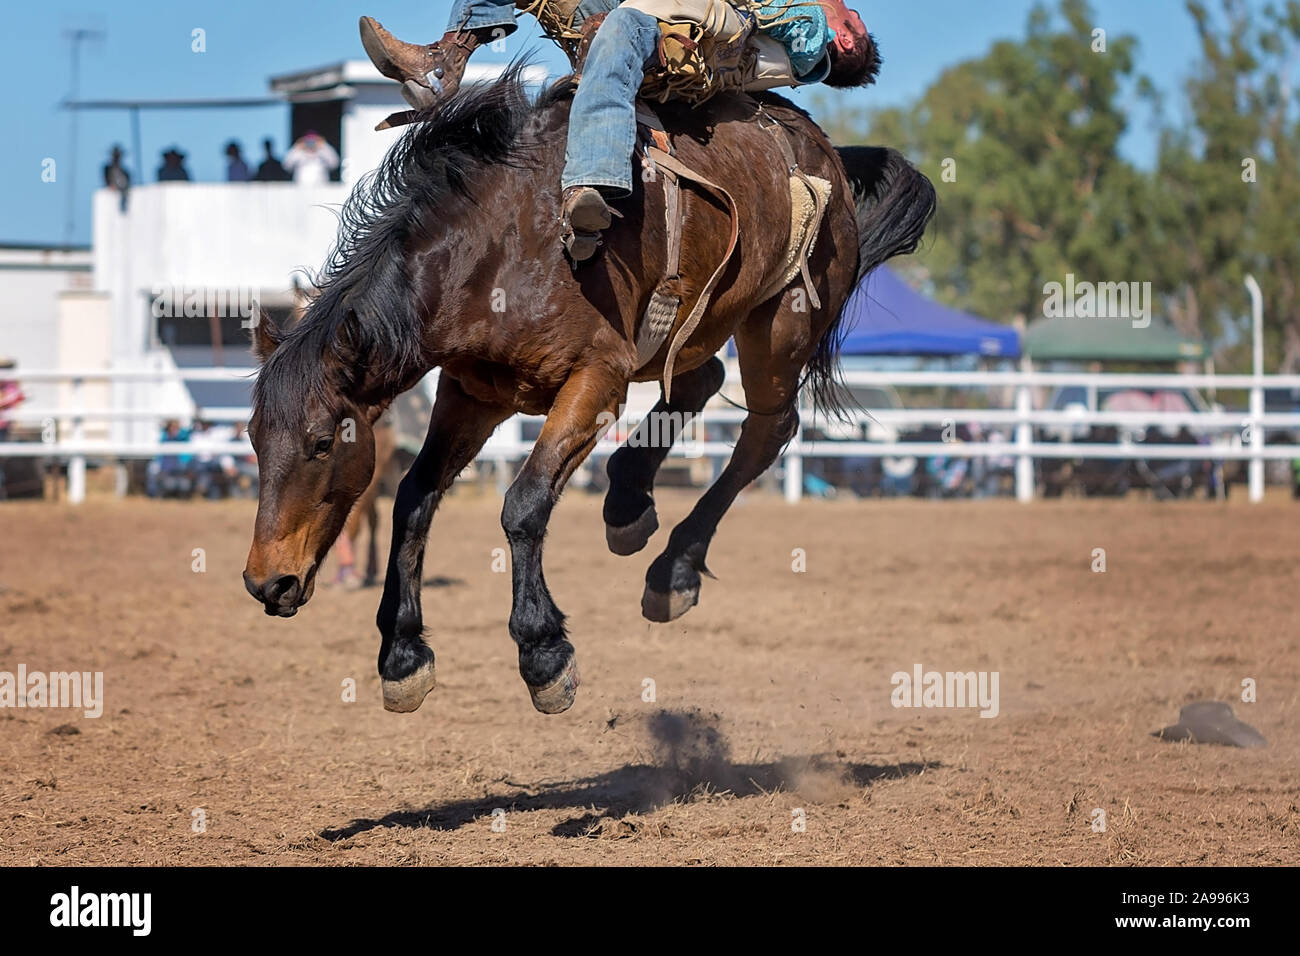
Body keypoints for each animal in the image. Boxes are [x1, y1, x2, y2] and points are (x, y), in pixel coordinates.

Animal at [243, 67, 934, 715]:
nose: (265, 583)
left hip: (780, 322)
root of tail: (825, 151)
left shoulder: (595, 380)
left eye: (322, 441)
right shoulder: (475, 394)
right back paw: (627, 499)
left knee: (769, 428)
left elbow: (523, 504)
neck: (502, 247)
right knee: (703, 380)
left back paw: (673, 570)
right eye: (252, 439)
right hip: (699, 316)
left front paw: (543, 651)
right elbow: (415, 496)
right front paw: (403, 654)